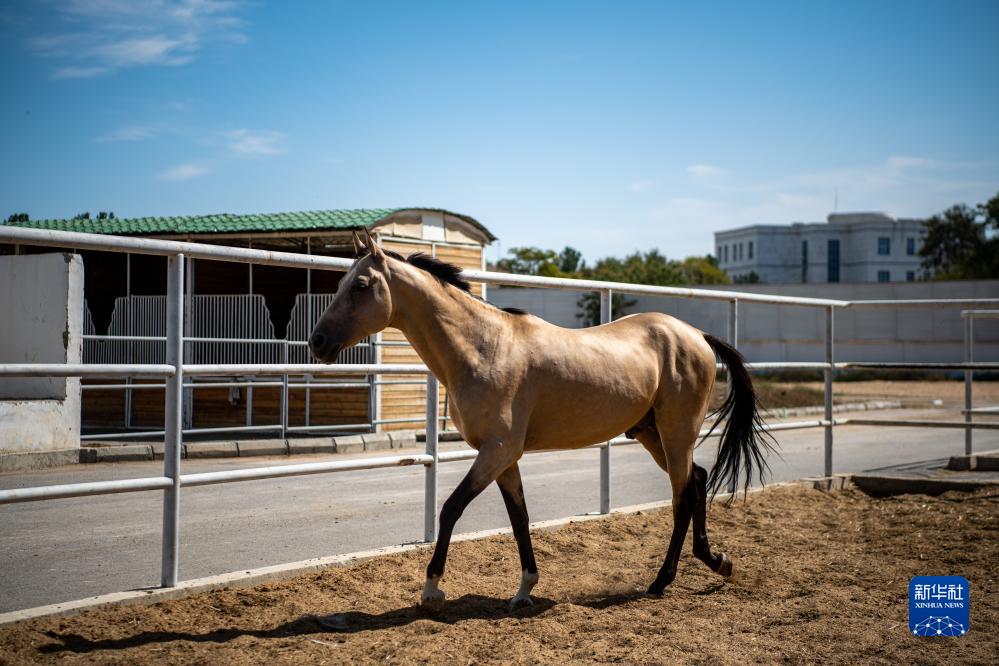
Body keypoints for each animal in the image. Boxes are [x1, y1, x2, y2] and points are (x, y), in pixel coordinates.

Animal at [309, 230, 774, 610]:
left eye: (361, 286)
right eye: (340, 284)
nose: (317, 341)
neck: (483, 347)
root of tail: (697, 336)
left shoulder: (497, 451)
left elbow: (450, 508)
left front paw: (431, 590)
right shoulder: (504, 458)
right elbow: (520, 519)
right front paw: (524, 589)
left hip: (676, 433)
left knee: (682, 496)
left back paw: (662, 582)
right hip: (651, 434)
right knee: (696, 480)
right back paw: (717, 561)